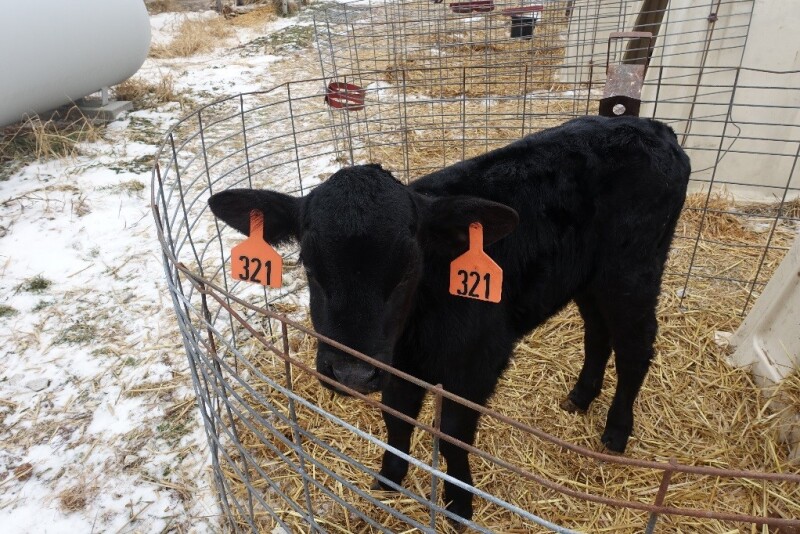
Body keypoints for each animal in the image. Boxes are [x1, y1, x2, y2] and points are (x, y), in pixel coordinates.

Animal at [208, 115, 691, 525]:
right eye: (308, 264)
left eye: (409, 267)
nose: (351, 373)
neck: (416, 334)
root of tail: (651, 127)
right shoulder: (396, 367)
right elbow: (397, 421)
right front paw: (387, 482)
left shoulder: (477, 363)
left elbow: (455, 433)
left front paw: (459, 503)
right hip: (588, 278)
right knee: (597, 331)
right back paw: (581, 395)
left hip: (633, 271)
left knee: (635, 347)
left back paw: (616, 431)